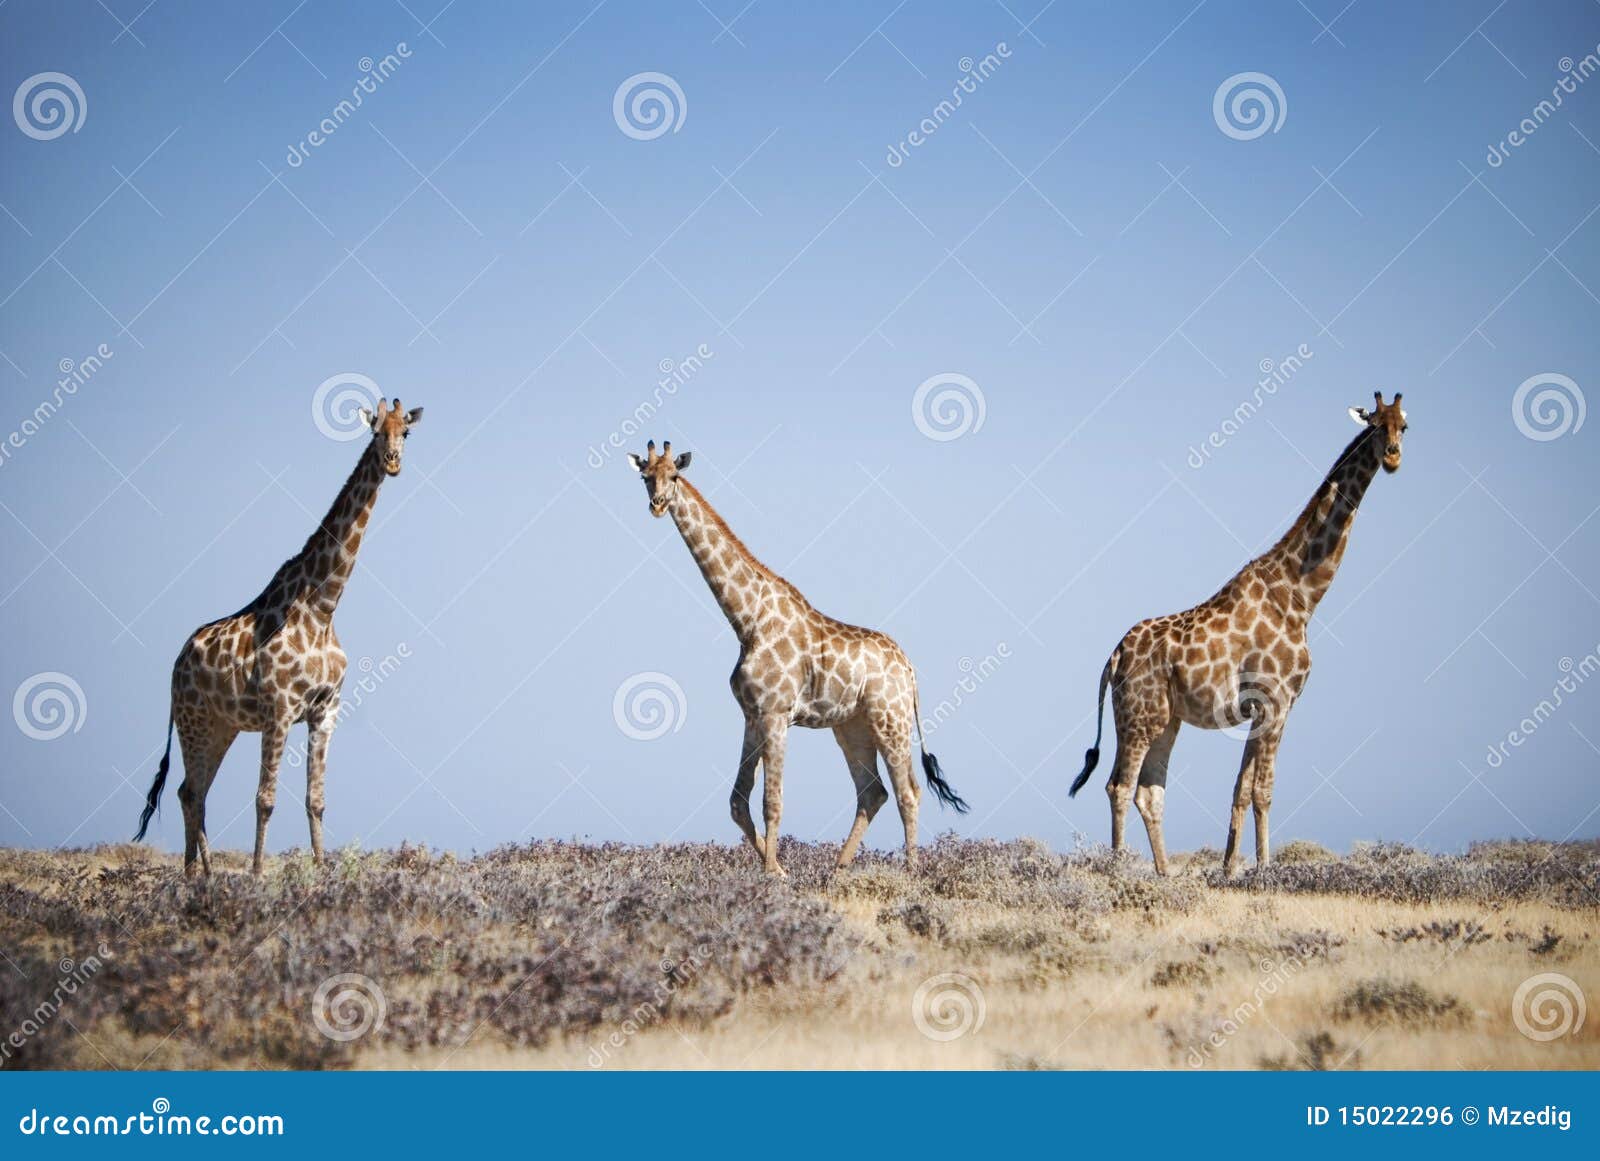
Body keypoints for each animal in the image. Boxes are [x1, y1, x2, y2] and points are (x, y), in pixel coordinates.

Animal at [134, 398, 423, 876]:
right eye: (375, 430)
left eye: (406, 432)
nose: (393, 462)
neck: (323, 607)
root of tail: (175, 665)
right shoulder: (280, 709)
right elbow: (265, 799)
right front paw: (255, 874)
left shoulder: (326, 711)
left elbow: (316, 799)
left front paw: (322, 871)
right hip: (194, 719)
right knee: (192, 791)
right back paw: (195, 875)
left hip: (223, 724)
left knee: (190, 791)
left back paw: (203, 876)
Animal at [627, 440, 968, 876]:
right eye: (644, 476)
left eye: (674, 476)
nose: (656, 504)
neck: (747, 620)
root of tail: (909, 668)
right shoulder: (752, 715)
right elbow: (738, 801)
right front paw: (780, 869)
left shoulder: (776, 714)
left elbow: (772, 802)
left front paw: (772, 872)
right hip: (852, 727)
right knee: (873, 792)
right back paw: (838, 869)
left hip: (890, 719)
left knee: (907, 790)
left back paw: (910, 870)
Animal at [1069, 394, 1407, 876]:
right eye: (1376, 425)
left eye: (1404, 426)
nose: (1394, 457)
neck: (1301, 596)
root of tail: (1112, 659)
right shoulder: (1277, 701)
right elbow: (1262, 790)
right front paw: (1265, 869)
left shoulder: (1263, 708)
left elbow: (1241, 789)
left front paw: (1231, 868)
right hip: (1138, 714)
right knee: (1119, 786)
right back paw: (1120, 870)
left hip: (1167, 719)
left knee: (1149, 792)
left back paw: (1165, 874)